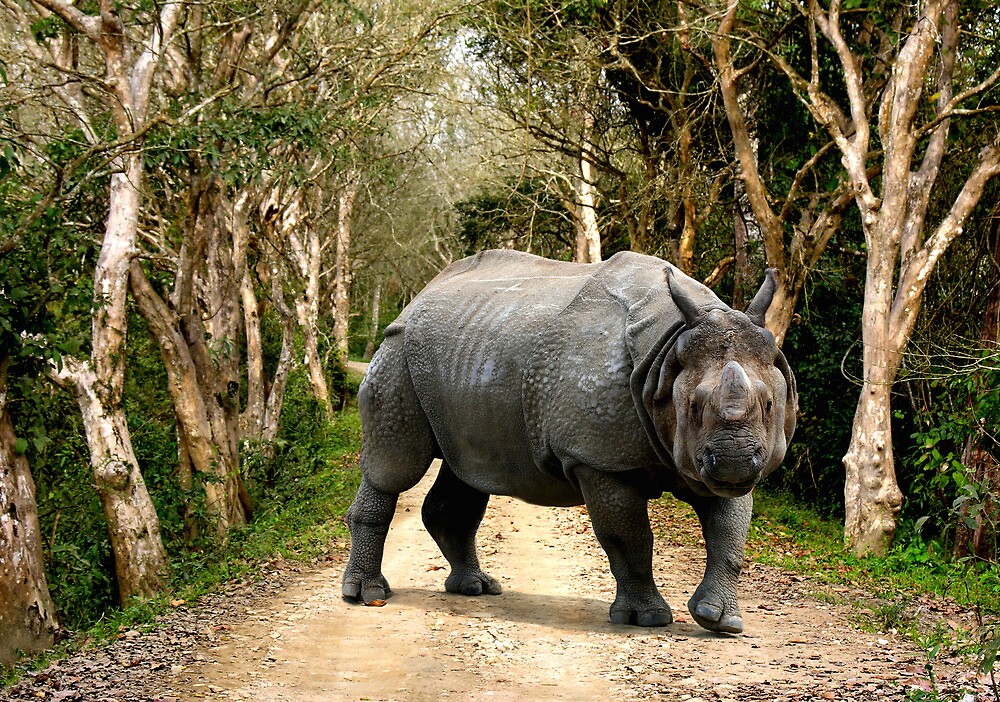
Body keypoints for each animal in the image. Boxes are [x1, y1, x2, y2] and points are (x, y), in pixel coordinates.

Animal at [342, 250, 796, 633]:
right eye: (696, 407)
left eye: (769, 404)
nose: (735, 463)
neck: (667, 350)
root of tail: (419, 296)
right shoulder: (598, 460)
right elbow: (629, 537)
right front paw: (647, 619)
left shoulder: (707, 461)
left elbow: (729, 534)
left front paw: (722, 622)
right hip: (398, 348)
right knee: (396, 468)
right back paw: (368, 596)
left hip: (470, 351)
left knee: (466, 470)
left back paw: (475, 588)